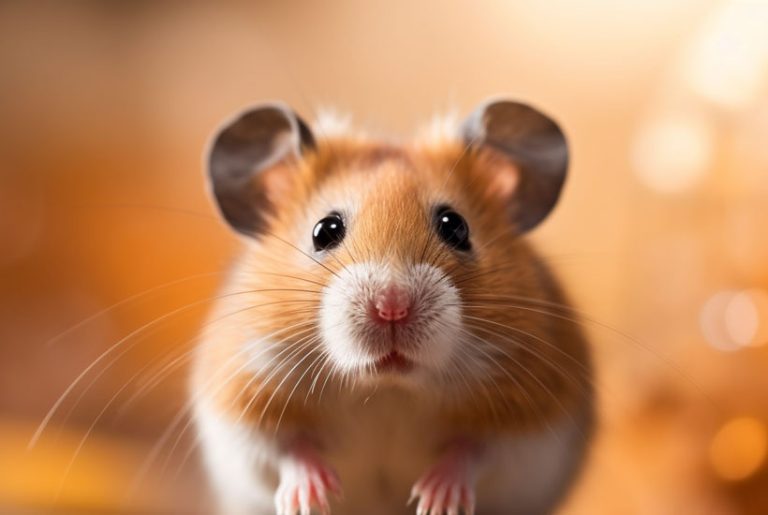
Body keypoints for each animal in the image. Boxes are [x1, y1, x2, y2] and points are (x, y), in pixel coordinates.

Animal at [192, 98, 594, 515]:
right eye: (324, 230)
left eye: (456, 226)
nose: (391, 307)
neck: (386, 388)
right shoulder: (245, 399)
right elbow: (287, 450)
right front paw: (313, 497)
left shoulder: (527, 423)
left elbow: (474, 452)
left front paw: (434, 500)